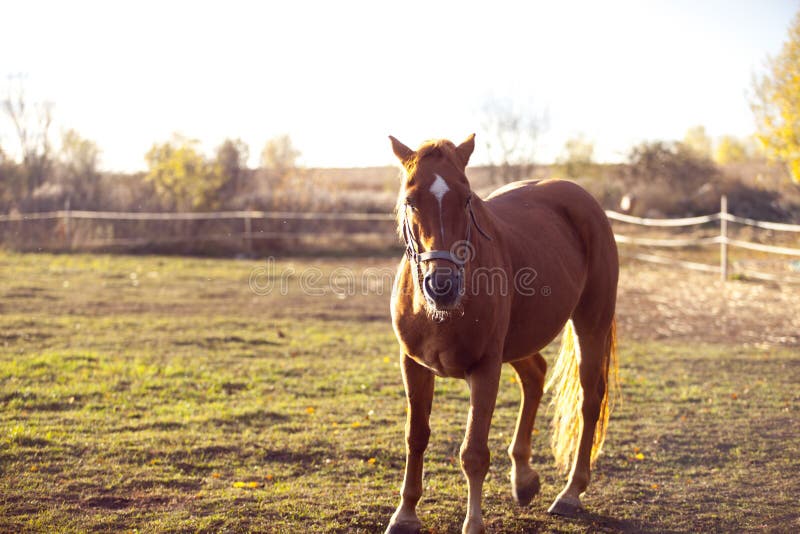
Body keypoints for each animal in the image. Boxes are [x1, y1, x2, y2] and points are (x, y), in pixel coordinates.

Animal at [385, 134, 619, 534]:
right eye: (411, 200)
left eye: (466, 198)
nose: (442, 286)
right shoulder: (412, 365)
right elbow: (416, 437)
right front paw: (405, 514)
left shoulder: (485, 369)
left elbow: (474, 453)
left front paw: (473, 523)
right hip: (517, 343)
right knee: (535, 375)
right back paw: (524, 479)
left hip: (591, 325)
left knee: (590, 400)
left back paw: (571, 493)